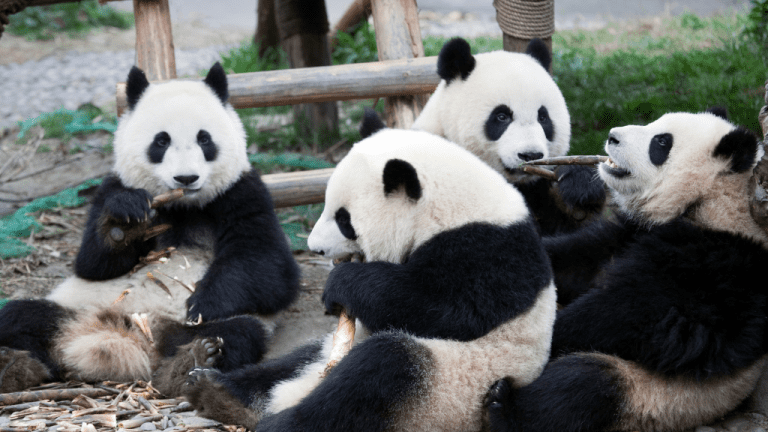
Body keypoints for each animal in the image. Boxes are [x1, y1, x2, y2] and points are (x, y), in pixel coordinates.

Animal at [0, 62, 300, 393]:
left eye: (204, 139)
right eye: (161, 141)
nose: (186, 178)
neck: (182, 205)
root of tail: (124, 338)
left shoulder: (242, 193)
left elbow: (269, 269)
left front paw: (201, 304)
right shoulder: (111, 188)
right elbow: (91, 264)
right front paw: (122, 224)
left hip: (211, 326)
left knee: (236, 333)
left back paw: (189, 362)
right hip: (76, 304)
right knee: (19, 316)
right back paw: (14, 366)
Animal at [180, 111, 557, 432]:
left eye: (344, 219)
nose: (315, 248)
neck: (450, 206)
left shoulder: (488, 251)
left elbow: (448, 310)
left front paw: (340, 285)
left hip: (452, 390)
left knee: (378, 371)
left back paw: (277, 420)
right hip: (331, 349)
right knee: (289, 363)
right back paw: (214, 388)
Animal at [484, 109, 768, 432]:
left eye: (661, 142)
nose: (612, 136)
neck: (711, 200)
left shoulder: (719, 266)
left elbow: (638, 317)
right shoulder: (630, 233)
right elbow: (579, 260)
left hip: (653, 398)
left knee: (584, 384)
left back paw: (503, 407)